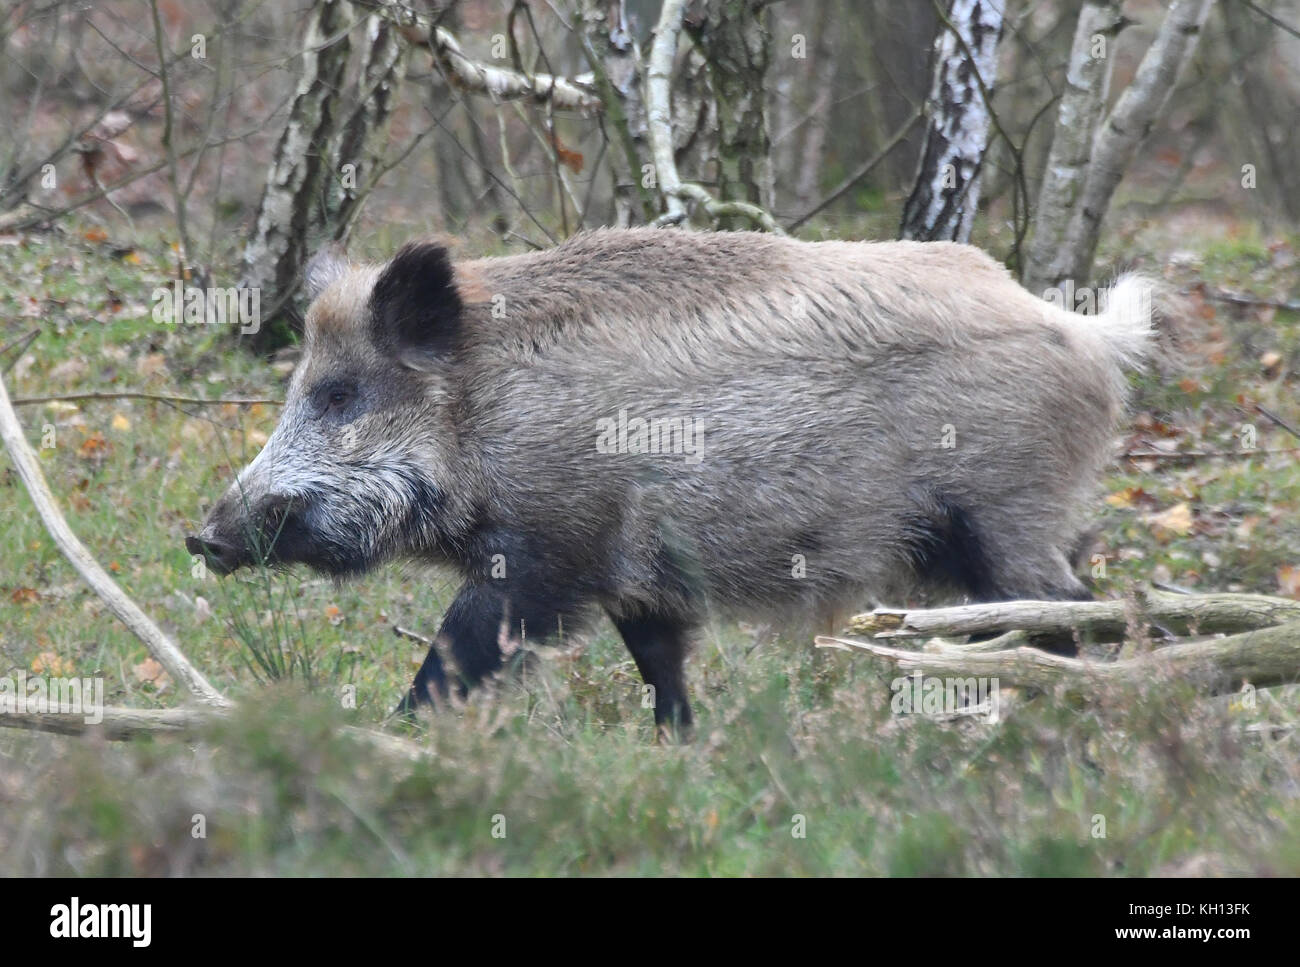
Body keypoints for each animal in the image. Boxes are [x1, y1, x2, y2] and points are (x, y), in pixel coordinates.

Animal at [187, 228, 1155, 733]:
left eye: (338, 393)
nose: (203, 535)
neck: (482, 414)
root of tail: (1089, 336)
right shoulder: (637, 578)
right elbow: (661, 666)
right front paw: (684, 745)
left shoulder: (542, 558)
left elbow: (453, 660)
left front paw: (394, 739)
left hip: (1005, 514)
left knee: (1067, 608)